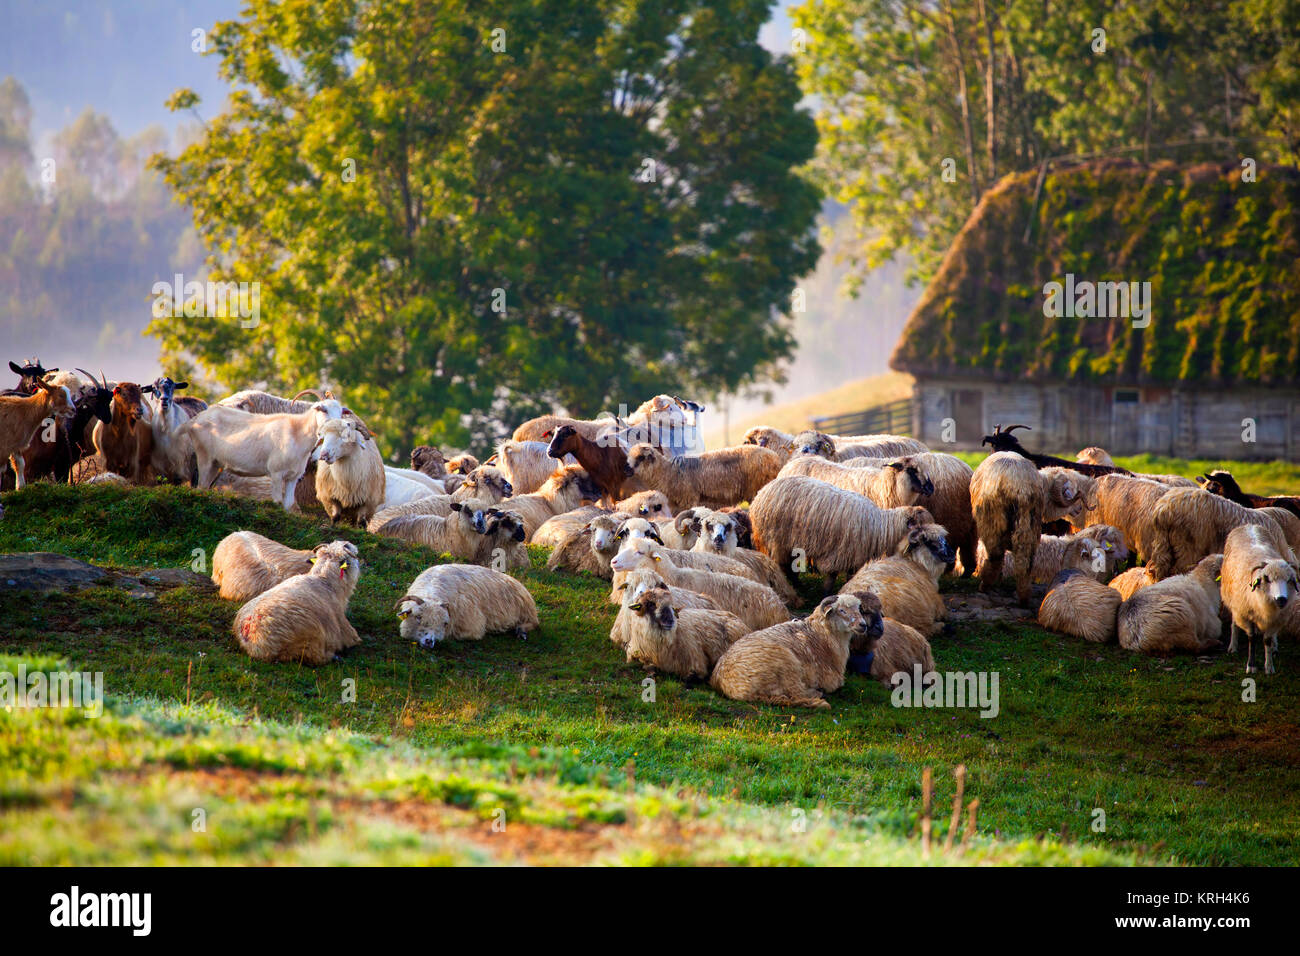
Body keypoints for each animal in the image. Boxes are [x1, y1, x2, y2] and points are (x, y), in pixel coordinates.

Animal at [186, 399, 344, 510]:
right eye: (323, 409)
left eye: (342, 412)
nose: (338, 425)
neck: (297, 433)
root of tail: (196, 420)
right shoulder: (276, 473)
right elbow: (277, 502)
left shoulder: (293, 477)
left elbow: (287, 505)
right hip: (204, 456)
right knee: (200, 486)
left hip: (215, 463)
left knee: (204, 487)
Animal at [396, 563, 538, 649]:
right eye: (418, 617)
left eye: (444, 623)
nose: (429, 641)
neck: (432, 592)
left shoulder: (473, 628)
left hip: (527, 612)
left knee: (534, 623)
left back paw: (521, 631)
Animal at [710, 592, 884, 710]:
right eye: (842, 610)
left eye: (859, 610)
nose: (863, 625)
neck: (820, 635)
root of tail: (733, 687)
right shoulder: (830, 679)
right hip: (787, 664)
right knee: (797, 693)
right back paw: (818, 696)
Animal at [749, 474, 937, 582]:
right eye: (921, 529)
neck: (882, 527)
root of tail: (762, 492)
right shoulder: (841, 553)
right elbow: (831, 577)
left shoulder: (854, 556)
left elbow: (849, 576)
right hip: (776, 540)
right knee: (784, 566)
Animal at [1222, 524, 1298, 675]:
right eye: (1267, 579)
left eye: (1289, 580)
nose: (1281, 599)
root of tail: (1248, 525)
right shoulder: (1245, 614)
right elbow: (1252, 638)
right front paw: (1251, 666)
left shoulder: (1276, 619)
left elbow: (1267, 640)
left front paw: (1269, 666)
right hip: (1234, 601)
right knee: (1234, 623)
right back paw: (1233, 646)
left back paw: (1274, 647)